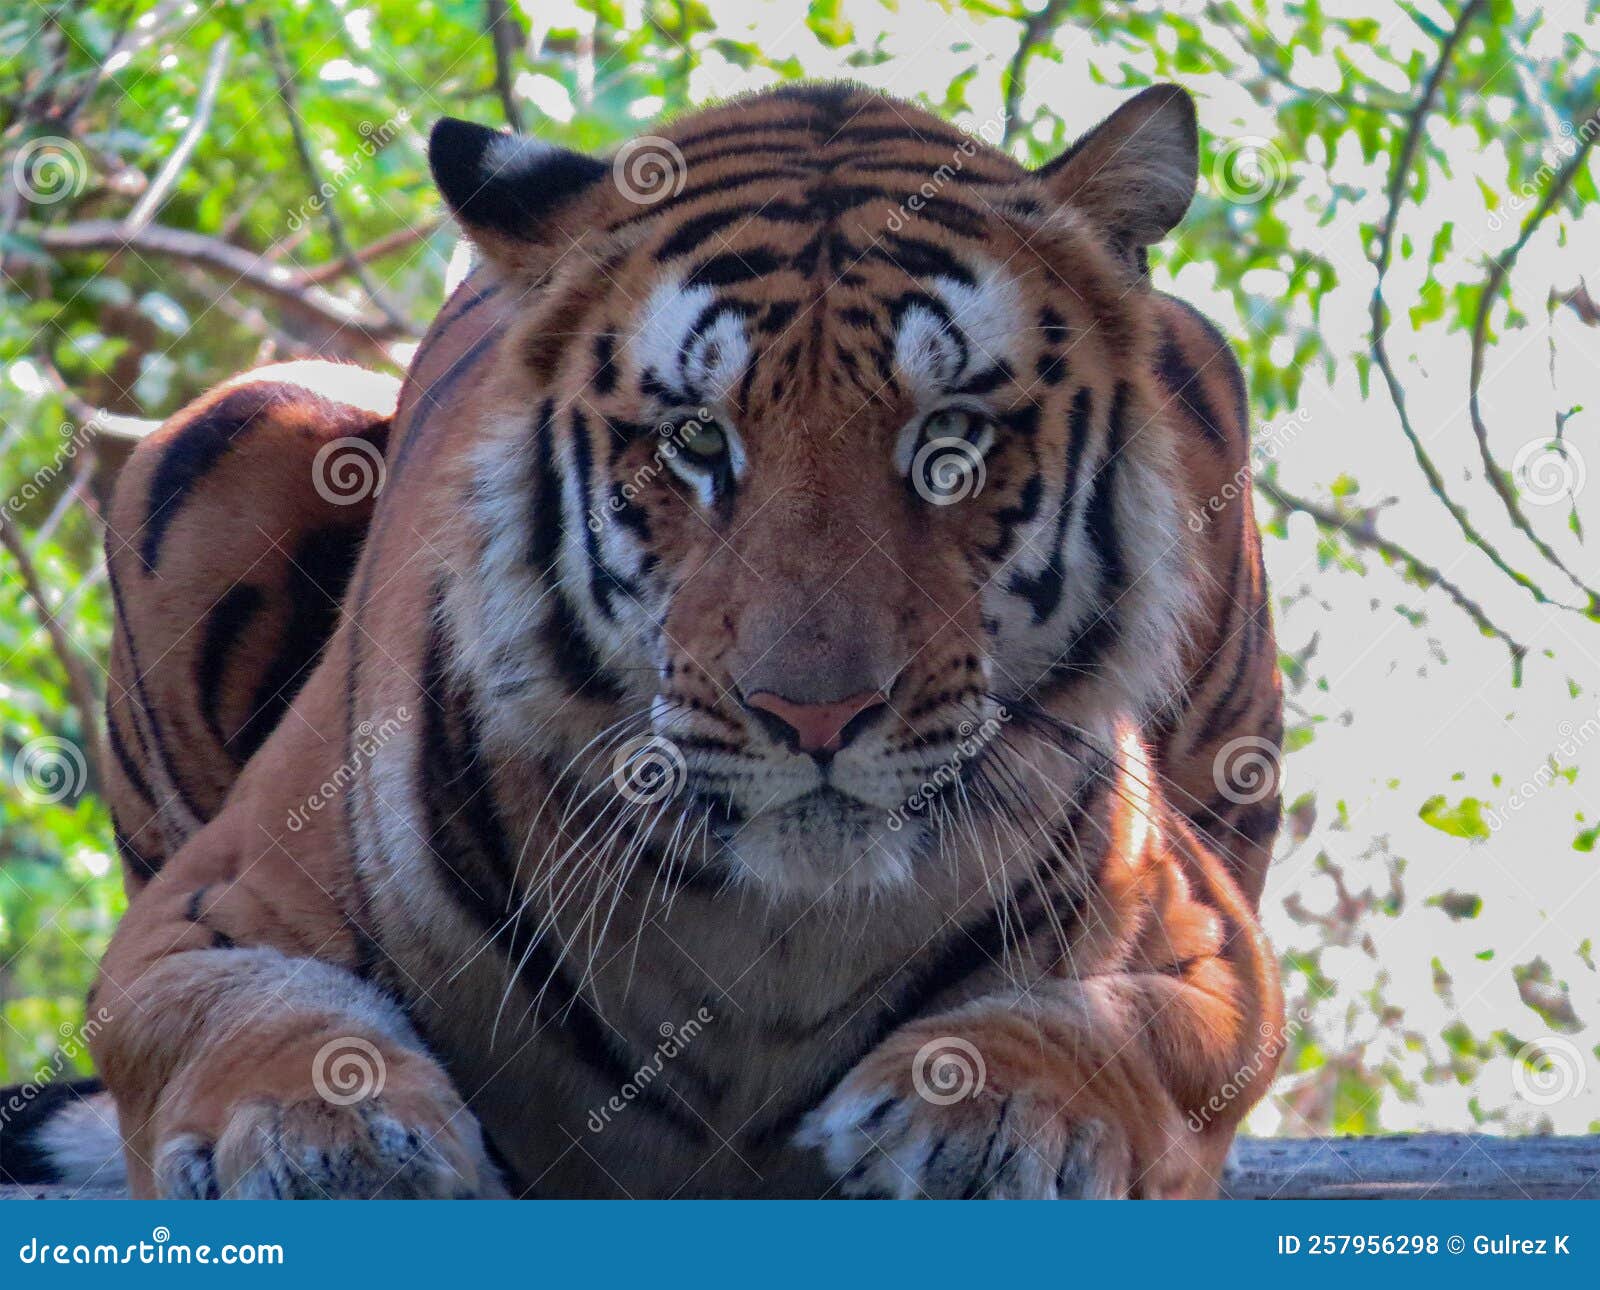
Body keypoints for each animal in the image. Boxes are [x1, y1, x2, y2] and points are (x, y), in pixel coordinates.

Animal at [0, 81, 1283, 1199]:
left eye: (952, 442)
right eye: (694, 441)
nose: (816, 715)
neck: (773, 931)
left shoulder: (1203, 938)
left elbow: (1119, 1029)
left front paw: (998, 1118)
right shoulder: (202, 910)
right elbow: (252, 1009)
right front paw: (324, 1134)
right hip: (240, 425)